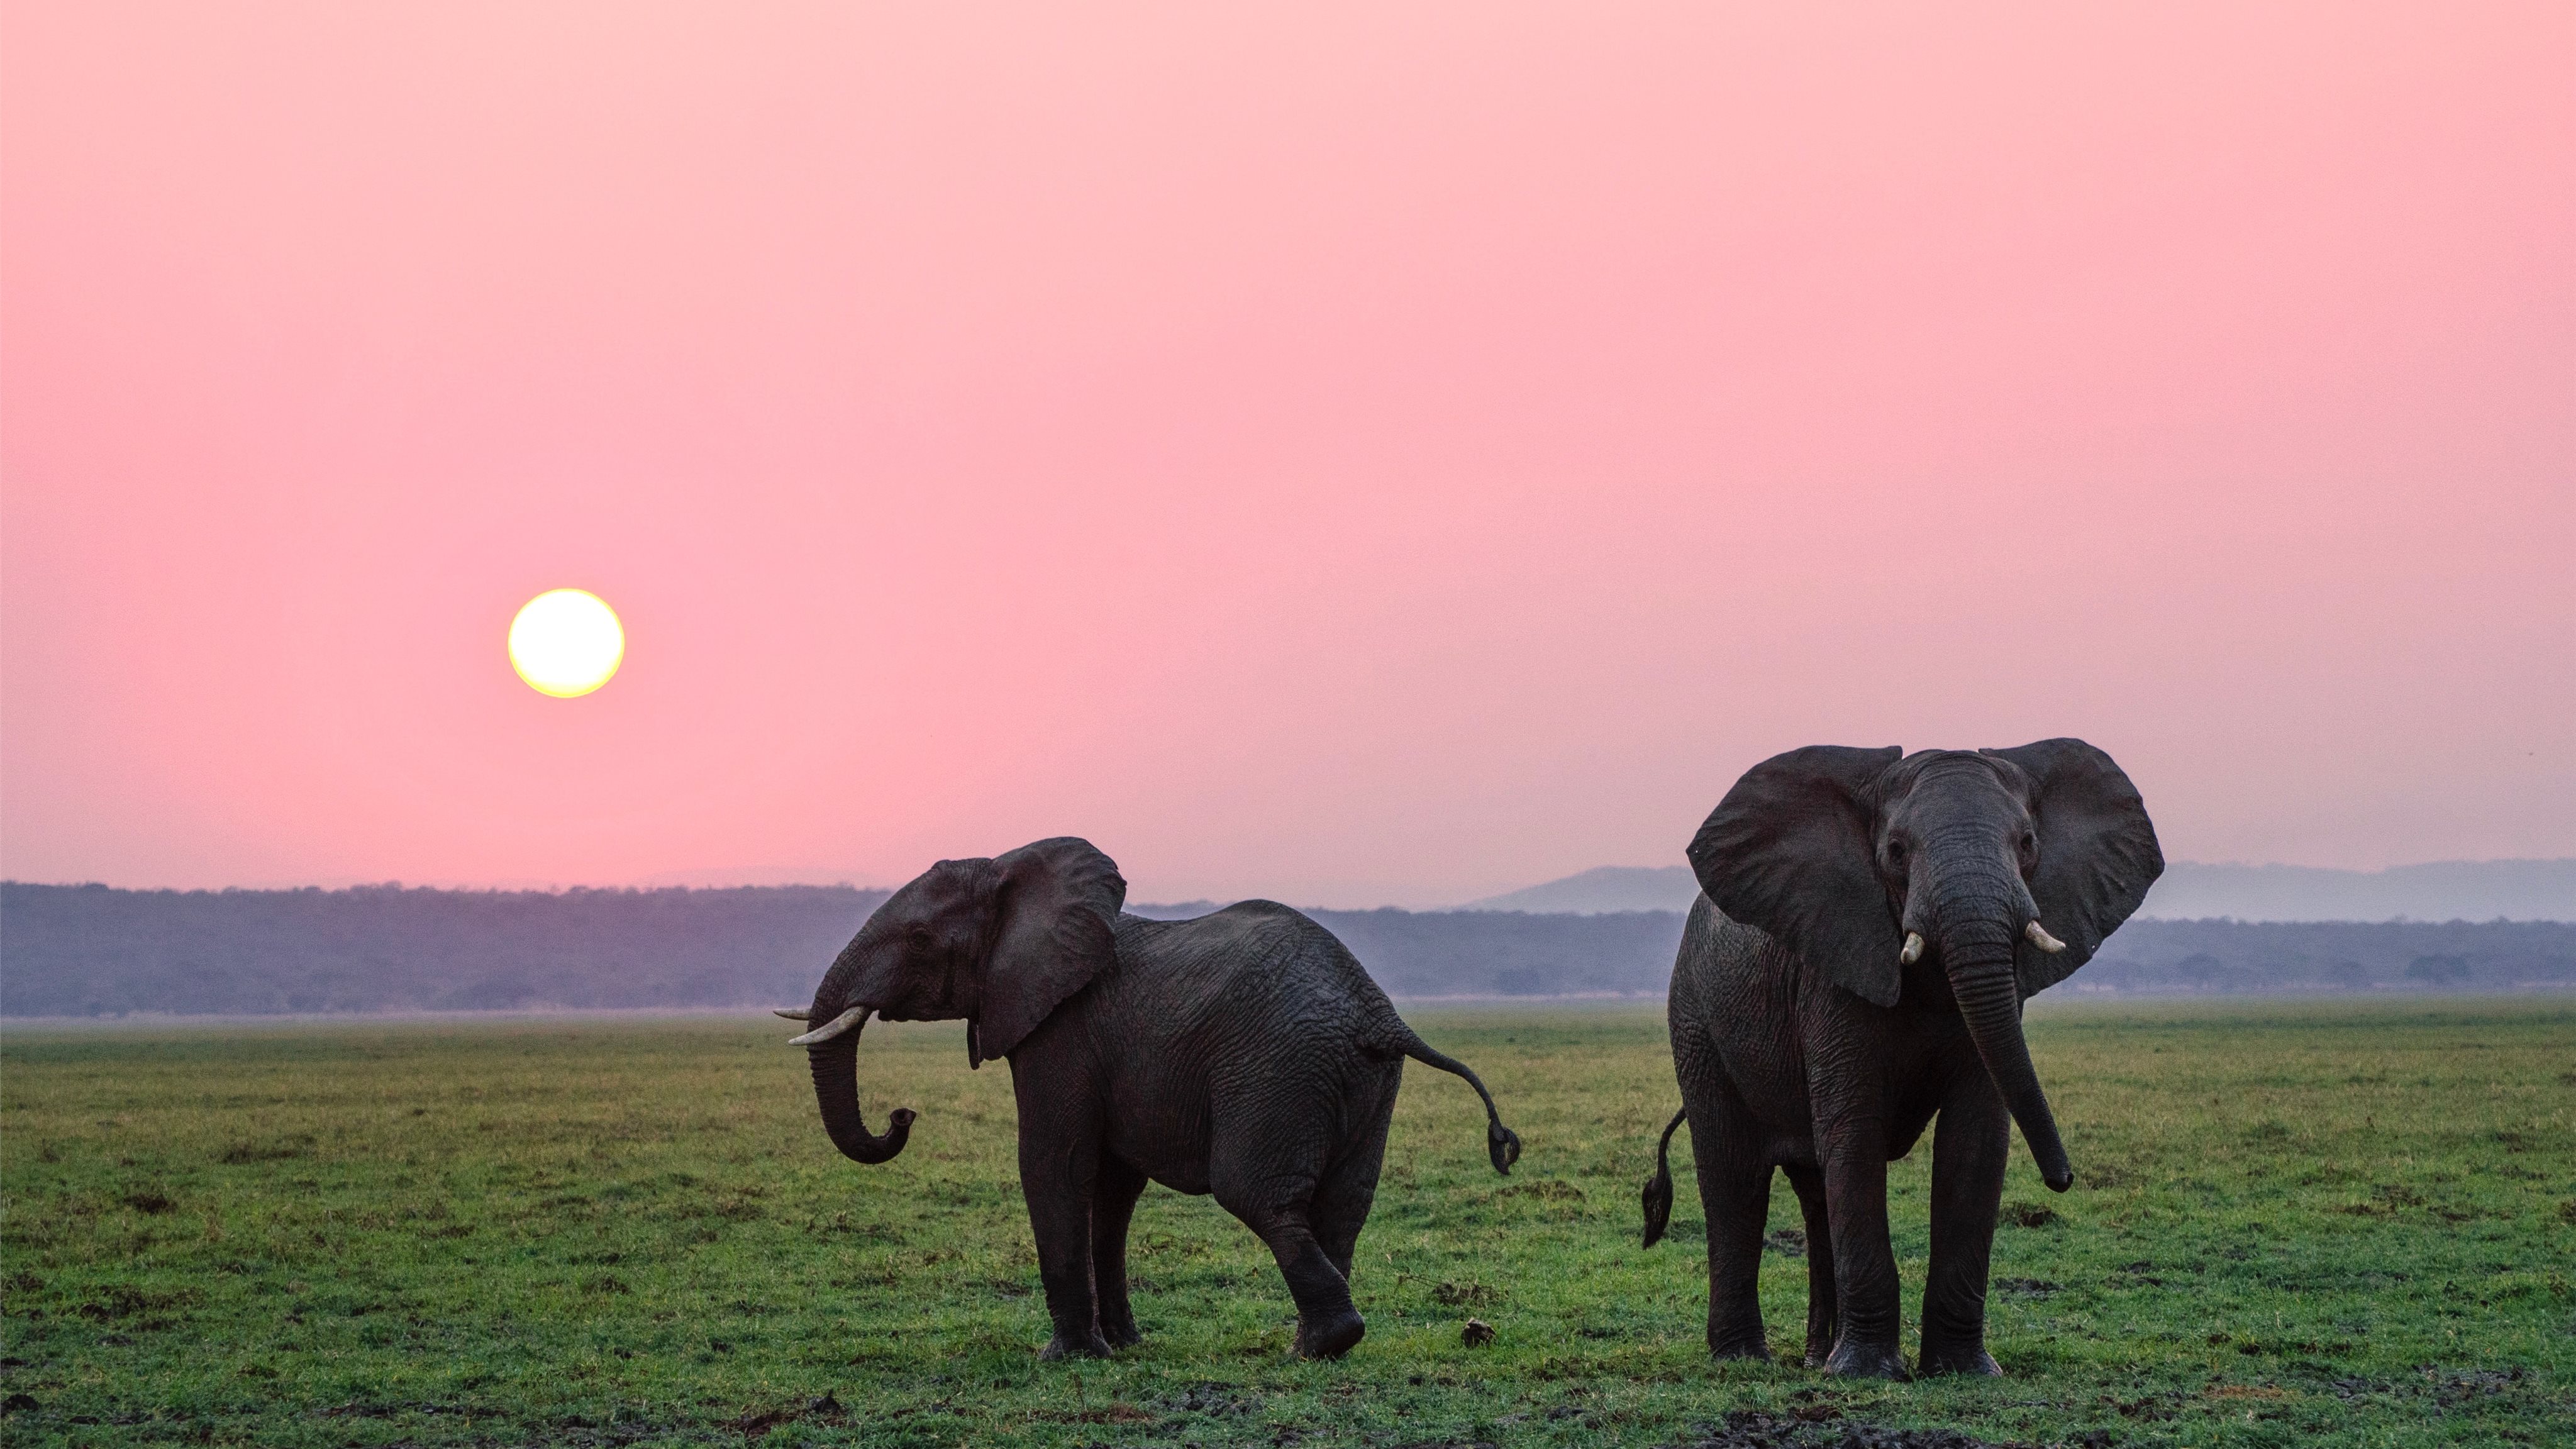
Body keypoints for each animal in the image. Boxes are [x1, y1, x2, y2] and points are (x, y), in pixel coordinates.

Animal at [783, 837, 1521, 1361]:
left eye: (917, 940)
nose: (901, 1115)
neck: (1009, 868)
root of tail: (1378, 1013)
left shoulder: (1061, 1030)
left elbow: (1055, 1164)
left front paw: (1066, 1358)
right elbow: (1112, 1188)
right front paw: (1125, 1347)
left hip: (1279, 1069)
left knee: (1256, 1194)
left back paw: (1319, 1345)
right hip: (1362, 1080)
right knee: (1342, 1206)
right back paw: (1316, 1348)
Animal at [1639, 740, 2160, 1379]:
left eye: (2027, 843)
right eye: (1895, 851)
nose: (2063, 1179)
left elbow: (1975, 1140)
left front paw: (1964, 1372)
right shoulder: (1834, 965)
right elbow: (1856, 1133)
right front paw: (1865, 1374)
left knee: (1814, 1190)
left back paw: (1815, 1359)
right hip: (1697, 1023)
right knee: (1735, 1177)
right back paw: (1746, 1361)